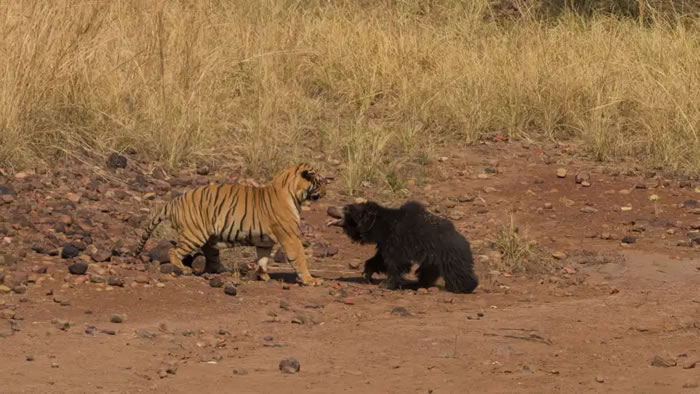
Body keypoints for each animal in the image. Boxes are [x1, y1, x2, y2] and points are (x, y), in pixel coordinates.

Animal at [135, 163, 330, 286]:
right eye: (319, 182)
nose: (326, 193)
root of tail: (174, 201)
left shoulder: (264, 242)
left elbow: (263, 259)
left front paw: (263, 275)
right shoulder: (290, 237)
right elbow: (300, 258)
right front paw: (310, 280)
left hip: (209, 238)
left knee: (211, 256)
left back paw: (222, 270)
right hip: (194, 235)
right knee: (173, 251)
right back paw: (183, 269)